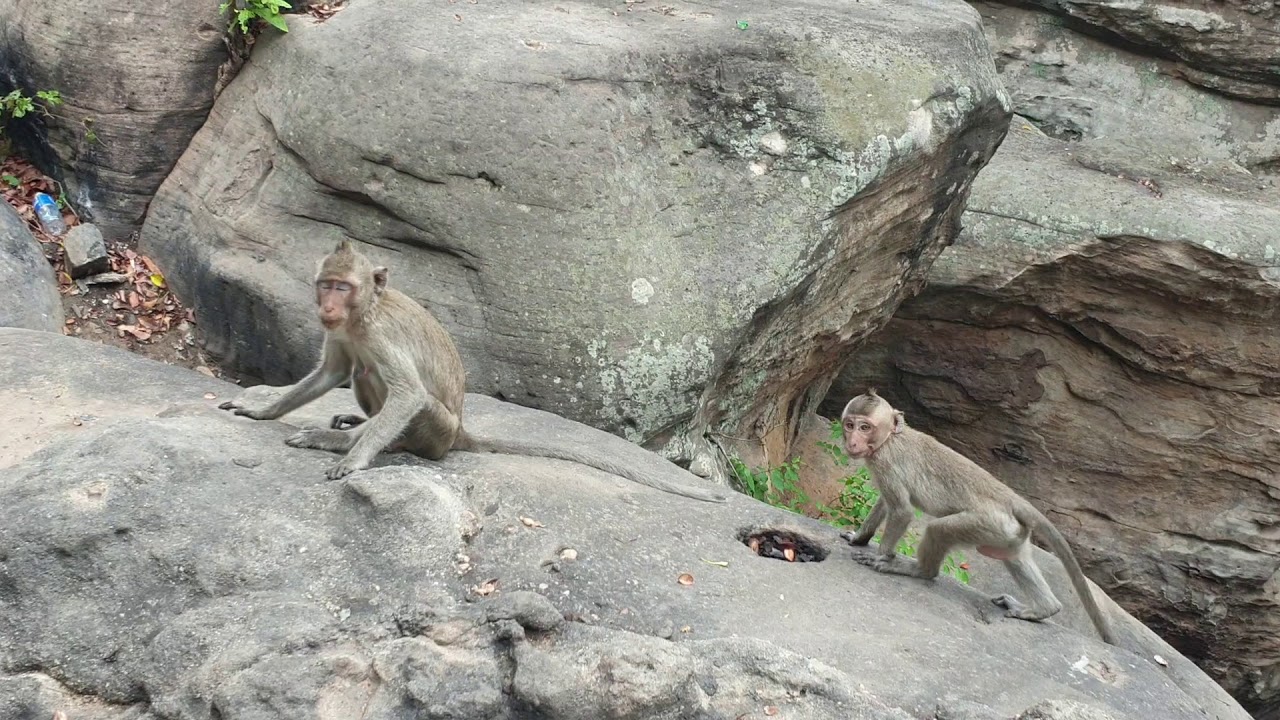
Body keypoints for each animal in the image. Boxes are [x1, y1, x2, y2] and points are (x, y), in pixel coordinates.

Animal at [218, 239, 727, 503]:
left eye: (343, 287)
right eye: (325, 284)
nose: (325, 306)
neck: (363, 314)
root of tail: (461, 431)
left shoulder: (380, 336)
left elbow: (409, 395)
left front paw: (353, 456)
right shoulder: (342, 334)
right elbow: (329, 374)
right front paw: (263, 411)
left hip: (439, 432)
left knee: (409, 402)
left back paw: (357, 439)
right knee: (362, 375)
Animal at [836, 389, 1117, 645]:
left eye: (865, 427)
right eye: (850, 425)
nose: (852, 442)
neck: (889, 439)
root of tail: (1011, 498)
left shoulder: (885, 462)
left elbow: (902, 510)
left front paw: (881, 556)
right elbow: (885, 503)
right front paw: (859, 538)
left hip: (985, 522)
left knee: (939, 531)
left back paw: (919, 570)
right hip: (1008, 532)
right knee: (1014, 557)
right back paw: (1044, 608)